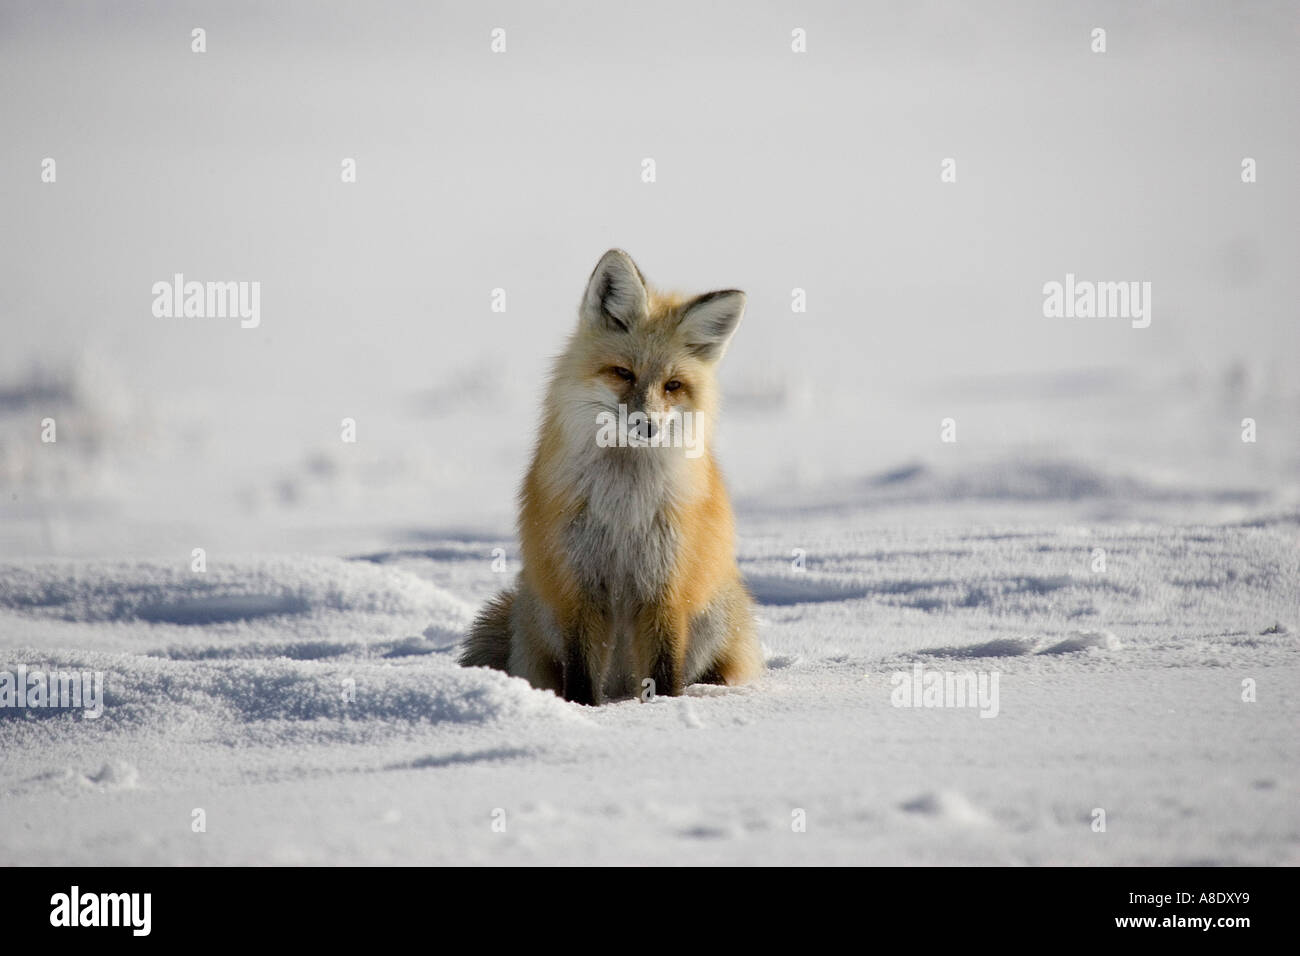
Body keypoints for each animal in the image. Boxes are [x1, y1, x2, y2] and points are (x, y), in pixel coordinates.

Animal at [458, 249, 762, 705]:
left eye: (673, 385)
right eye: (623, 373)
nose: (647, 425)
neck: (624, 504)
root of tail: (620, 687)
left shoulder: (665, 586)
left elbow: (664, 669)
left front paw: (663, 707)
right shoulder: (577, 583)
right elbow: (581, 670)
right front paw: (583, 709)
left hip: (715, 616)